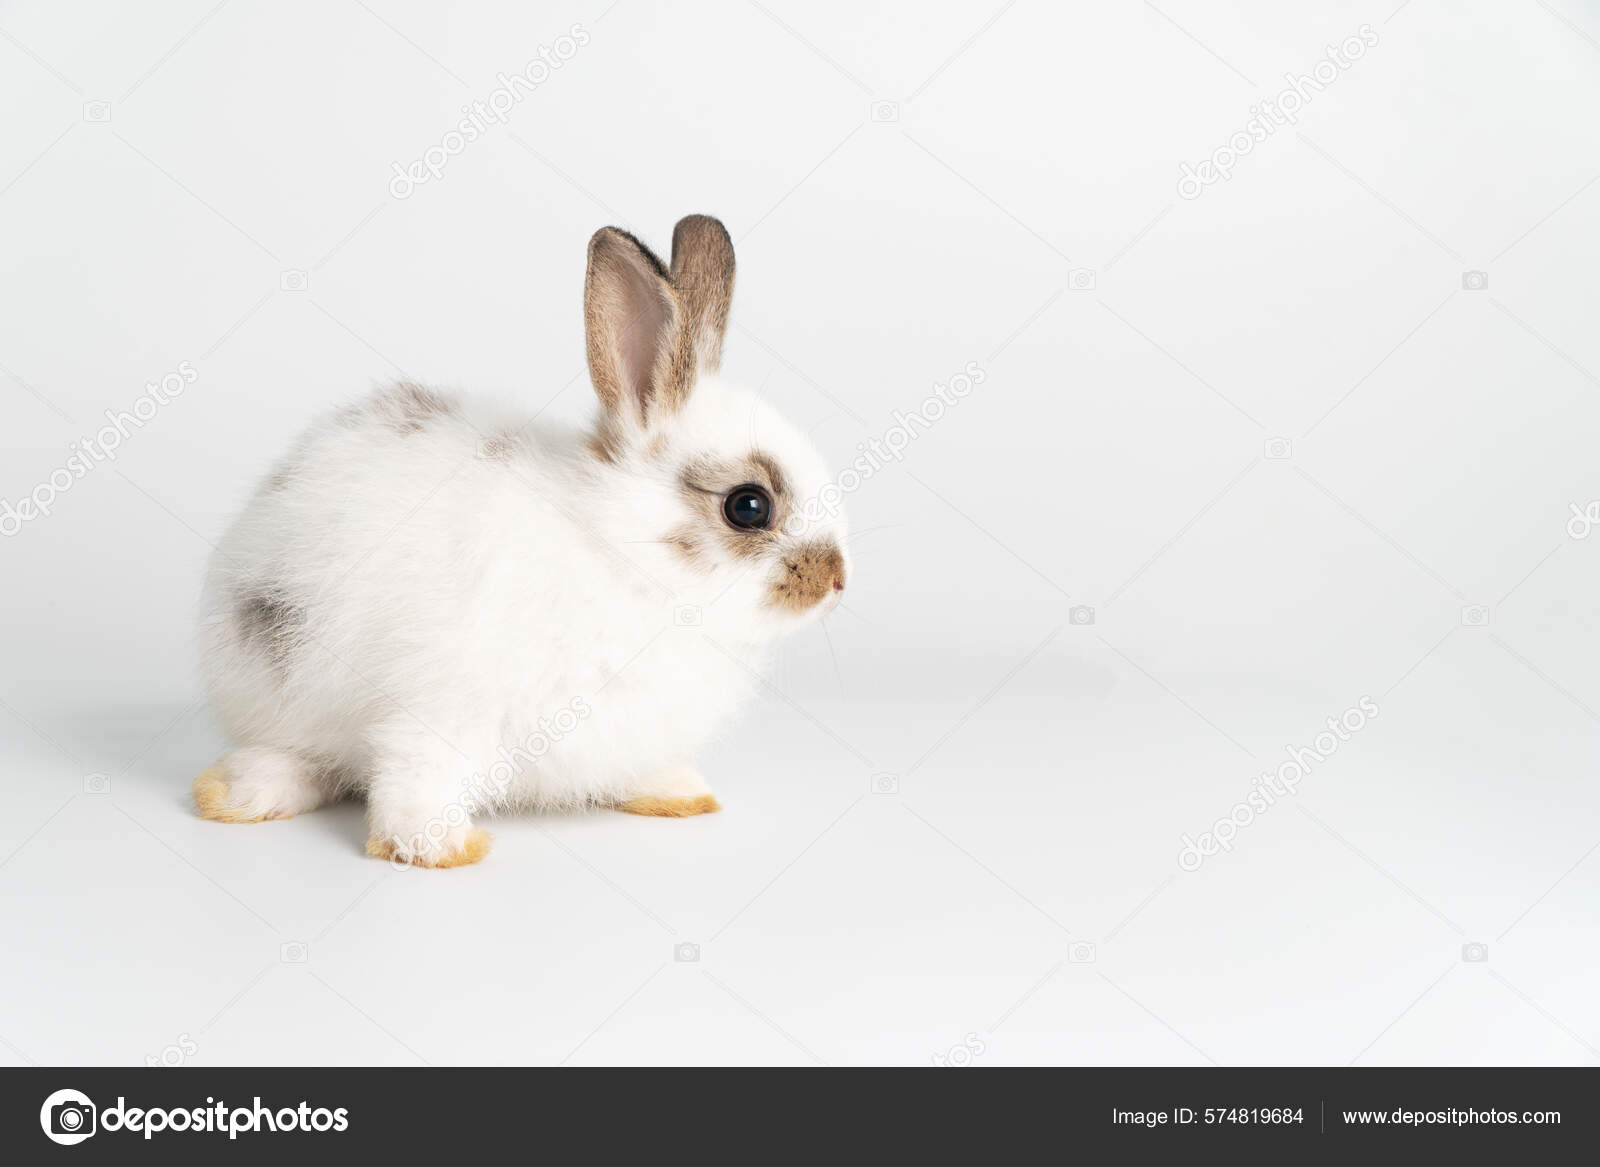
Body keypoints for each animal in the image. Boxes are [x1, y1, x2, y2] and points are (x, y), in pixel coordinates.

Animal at [192, 215, 849, 867]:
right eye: (748, 506)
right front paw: (438, 847)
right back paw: (236, 793)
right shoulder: (441, 710)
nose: (836, 579)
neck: (624, 561)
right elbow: (417, 778)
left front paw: (680, 795)